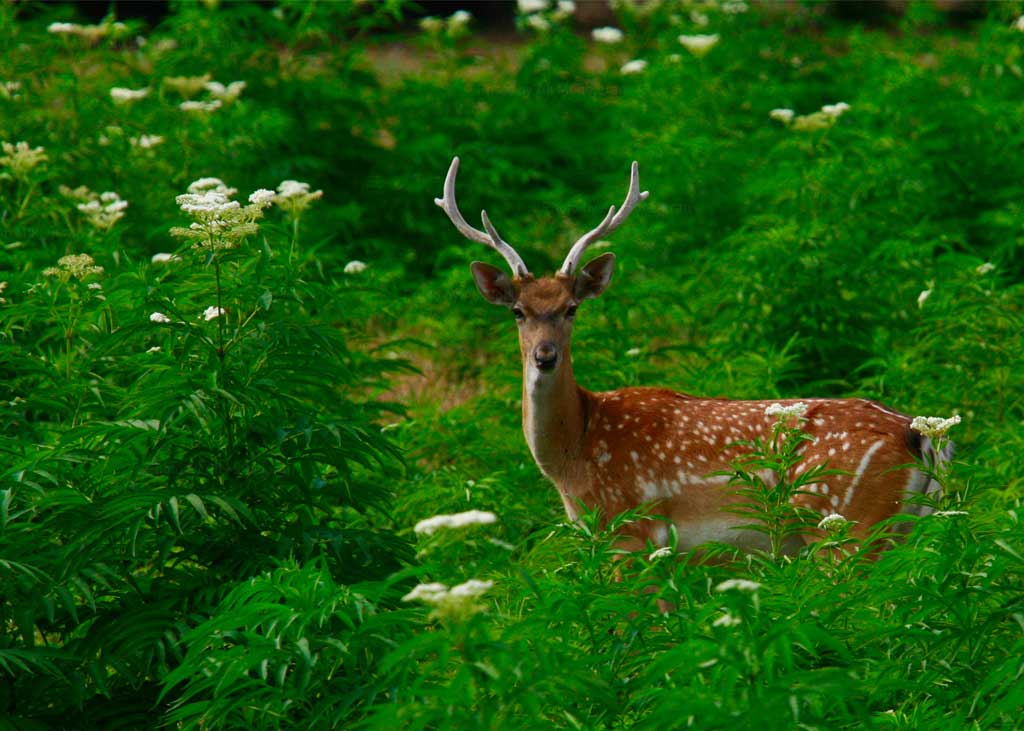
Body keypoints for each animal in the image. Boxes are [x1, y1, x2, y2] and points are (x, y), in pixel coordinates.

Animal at [435, 156, 948, 557]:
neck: (574, 455)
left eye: (571, 308)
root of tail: (921, 436)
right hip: (905, 526)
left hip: (845, 524)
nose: (545, 356)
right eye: (518, 311)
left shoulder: (631, 528)